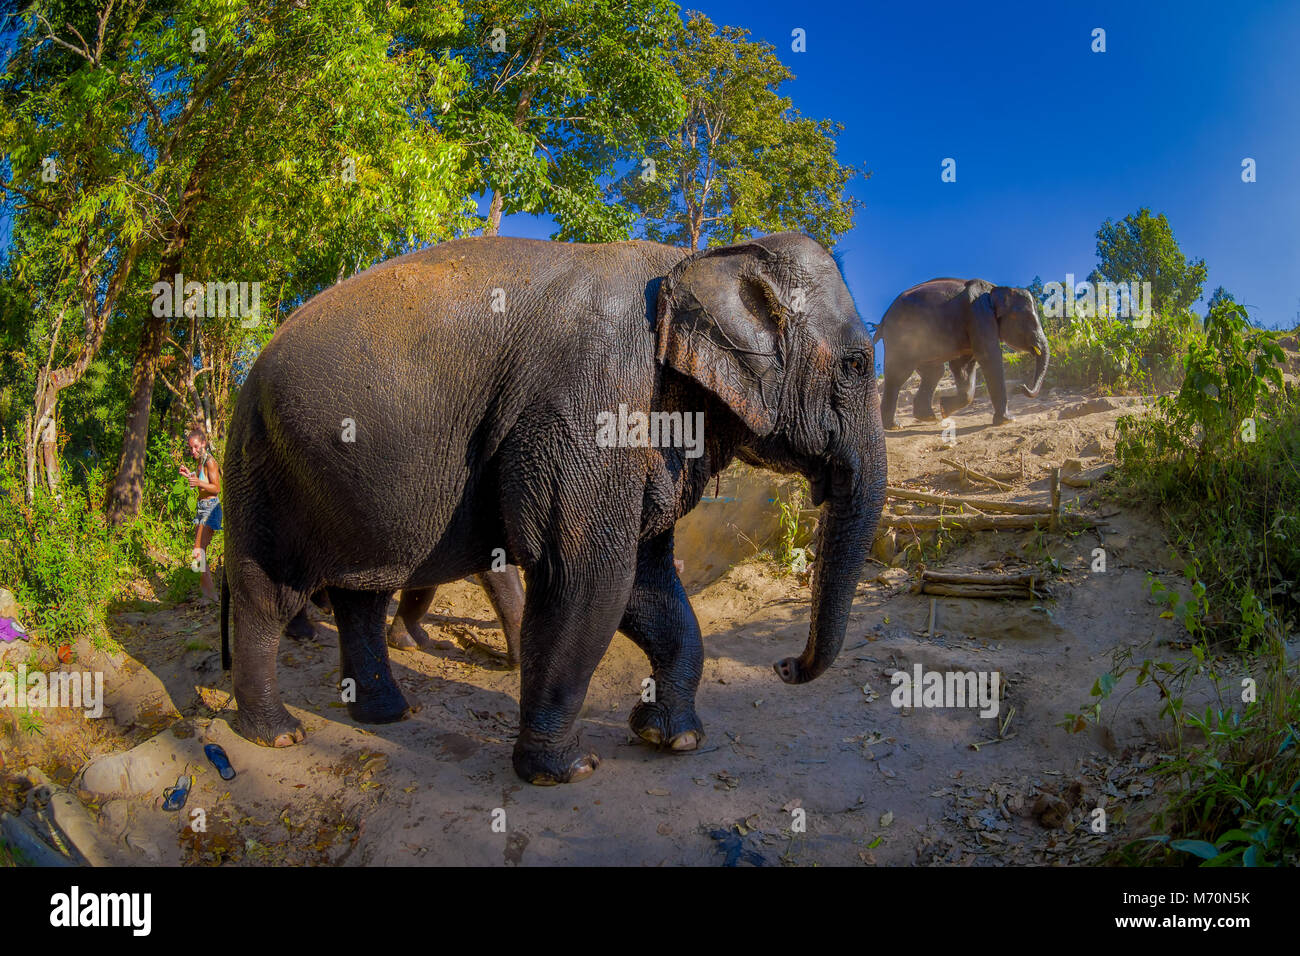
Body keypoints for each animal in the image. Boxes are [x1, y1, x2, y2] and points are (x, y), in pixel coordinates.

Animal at [219, 231, 887, 785]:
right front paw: (566, 771)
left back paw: (389, 716)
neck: (698, 259)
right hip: (263, 464)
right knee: (267, 591)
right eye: (857, 364)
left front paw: (673, 740)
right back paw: (276, 733)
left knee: (361, 594)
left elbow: (647, 582)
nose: (785, 666)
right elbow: (589, 576)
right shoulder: (588, 408)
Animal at [873, 278, 1049, 428]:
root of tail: (883, 319)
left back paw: (929, 417)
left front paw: (944, 408)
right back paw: (894, 426)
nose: (1022, 386)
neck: (995, 290)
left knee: (934, 372)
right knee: (899, 374)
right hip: (901, 337)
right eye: (1028, 320)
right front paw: (1008, 420)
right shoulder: (979, 315)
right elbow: (989, 357)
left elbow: (962, 366)